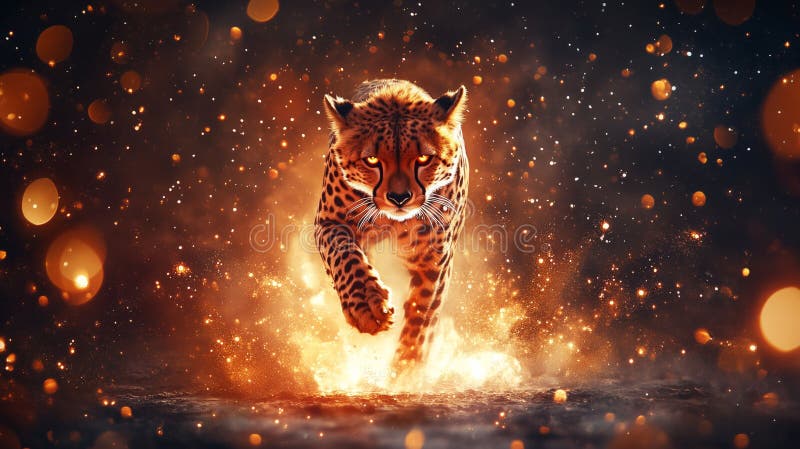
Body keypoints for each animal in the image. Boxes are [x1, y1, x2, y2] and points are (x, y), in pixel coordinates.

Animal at [314, 79, 469, 369]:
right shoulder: (329, 222)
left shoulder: (433, 260)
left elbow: (421, 318)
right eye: (372, 160)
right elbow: (344, 256)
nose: (399, 198)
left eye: (423, 159)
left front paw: (405, 367)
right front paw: (366, 305)